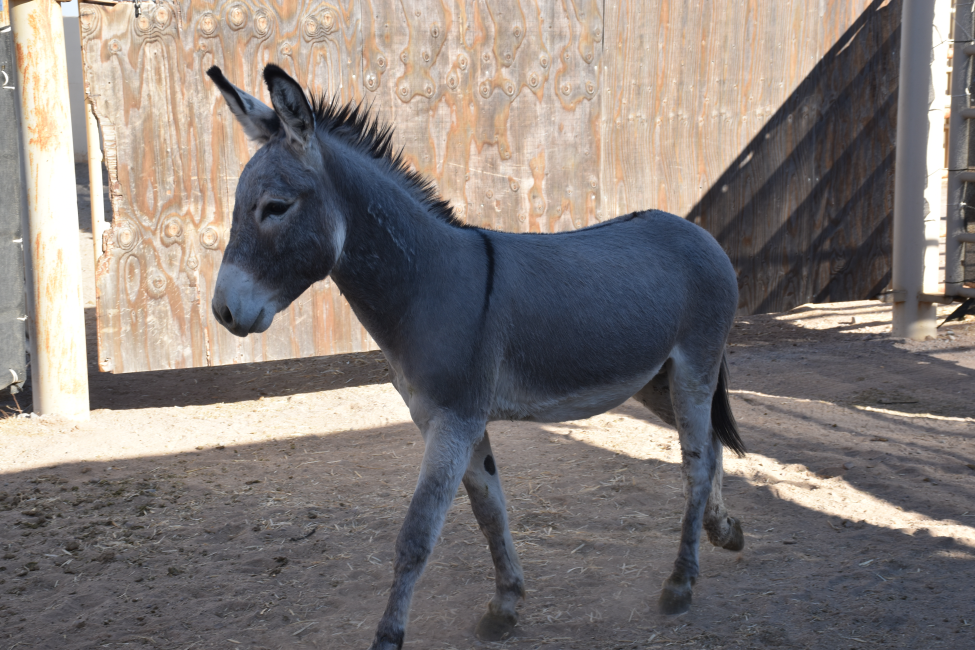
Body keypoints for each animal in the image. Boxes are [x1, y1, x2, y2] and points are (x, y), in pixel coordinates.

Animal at [207, 64, 746, 650]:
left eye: (275, 207)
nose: (223, 311)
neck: (425, 282)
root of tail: (694, 229)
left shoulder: (455, 420)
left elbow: (417, 534)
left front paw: (389, 636)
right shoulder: (442, 420)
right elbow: (490, 510)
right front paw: (506, 605)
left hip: (693, 367)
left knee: (695, 462)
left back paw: (680, 584)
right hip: (655, 381)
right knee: (712, 446)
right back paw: (723, 531)